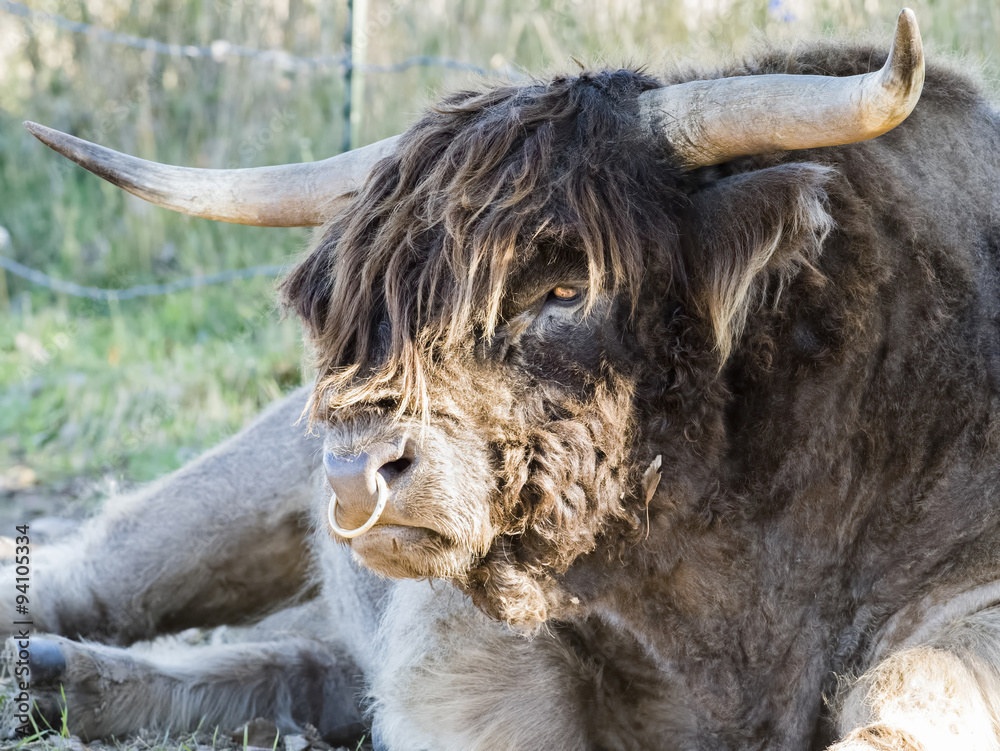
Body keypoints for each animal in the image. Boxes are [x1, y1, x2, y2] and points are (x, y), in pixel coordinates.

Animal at [4, 9, 1000, 749]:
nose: (354, 475)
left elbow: (912, 690)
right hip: (214, 506)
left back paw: (64, 680)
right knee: (95, 578)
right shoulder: (466, 623)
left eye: (566, 287)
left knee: (296, 669)